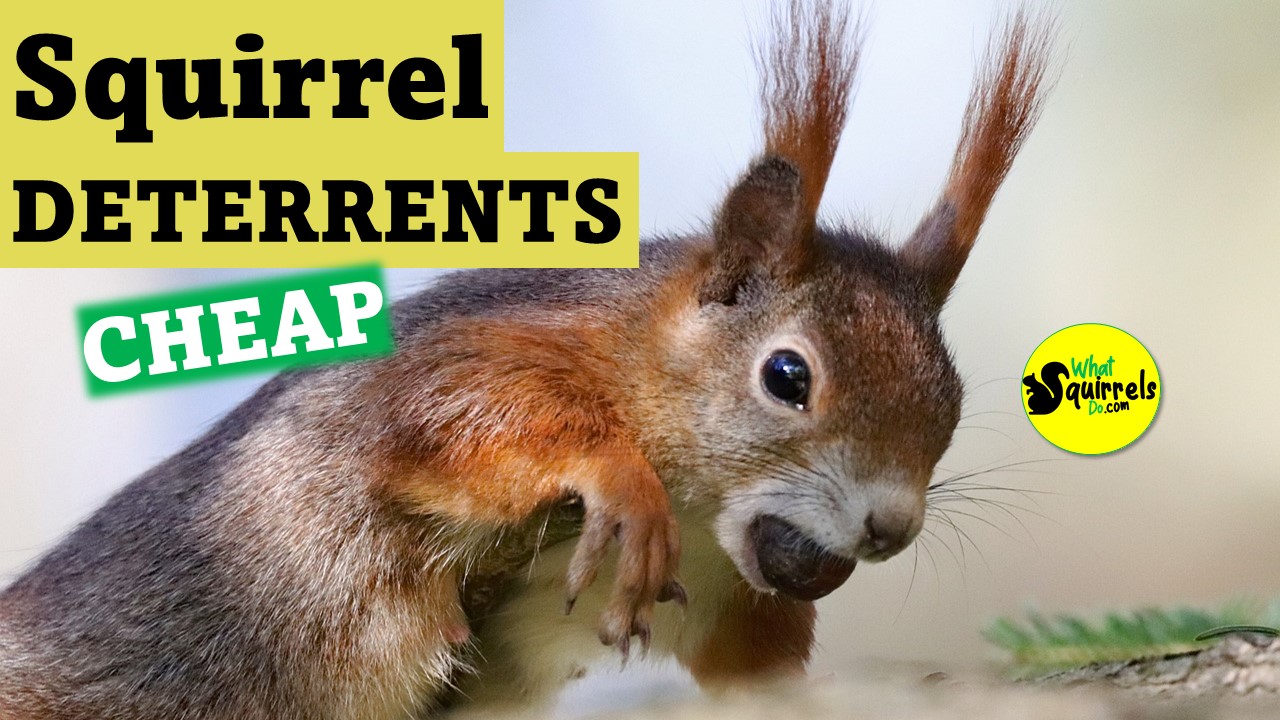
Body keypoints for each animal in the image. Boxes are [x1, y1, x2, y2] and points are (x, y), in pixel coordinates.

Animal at [0, 2, 1053, 718]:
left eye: (953, 401)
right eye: (787, 377)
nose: (890, 527)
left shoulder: (727, 599)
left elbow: (756, 681)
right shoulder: (463, 360)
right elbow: (463, 419)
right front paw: (619, 482)